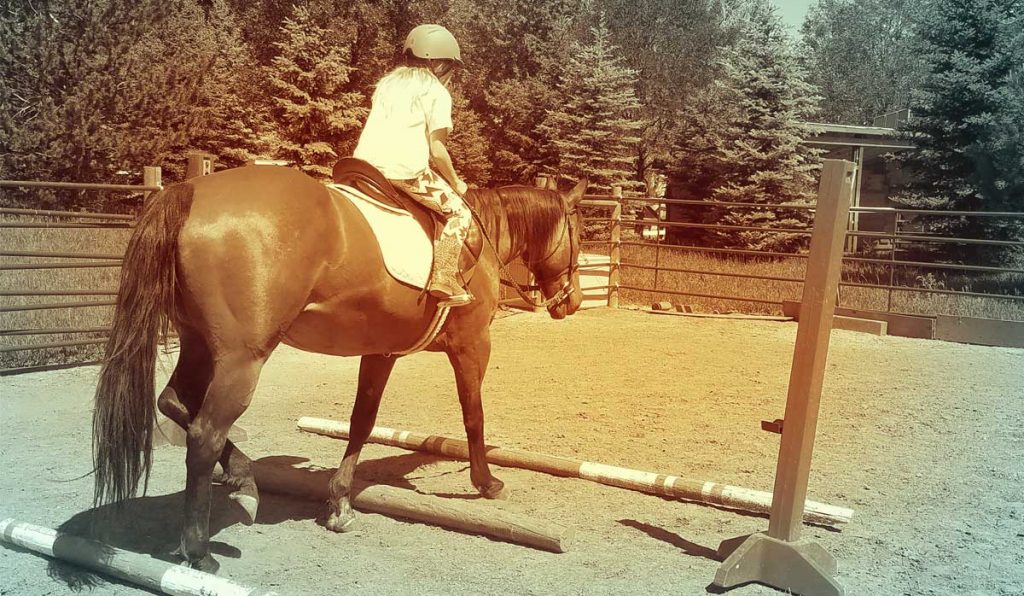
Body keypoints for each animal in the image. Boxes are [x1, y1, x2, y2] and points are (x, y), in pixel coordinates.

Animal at [91, 165, 587, 572]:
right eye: (580, 235)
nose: (574, 302)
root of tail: (190, 190)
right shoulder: (472, 346)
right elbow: (473, 417)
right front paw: (486, 483)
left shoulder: (381, 352)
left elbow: (361, 421)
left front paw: (339, 503)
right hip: (241, 360)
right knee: (204, 434)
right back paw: (199, 549)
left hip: (197, 344)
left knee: (173, 403)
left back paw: (244, 479)